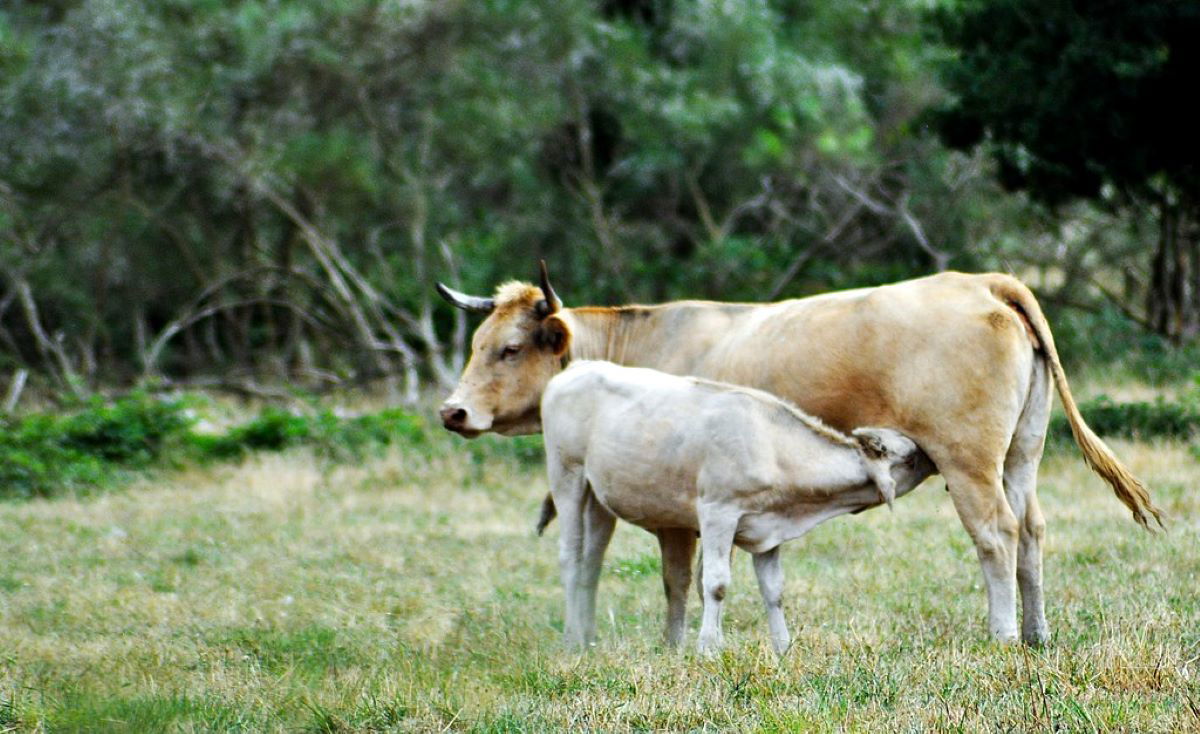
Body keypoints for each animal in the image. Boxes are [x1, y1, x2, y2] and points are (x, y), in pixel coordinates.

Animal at [542, 360, 936, 653]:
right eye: (912, 457)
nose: (935, 458)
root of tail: (577, 367)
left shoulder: (768, 529)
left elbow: (774, 590)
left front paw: (782, 648)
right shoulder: (718, 511)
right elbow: (716, 583)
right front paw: (709, 648)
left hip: (598, 498)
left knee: (592, 561)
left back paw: (589, 637)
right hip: (567, 475)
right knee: (570, 556)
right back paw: (572, 639)